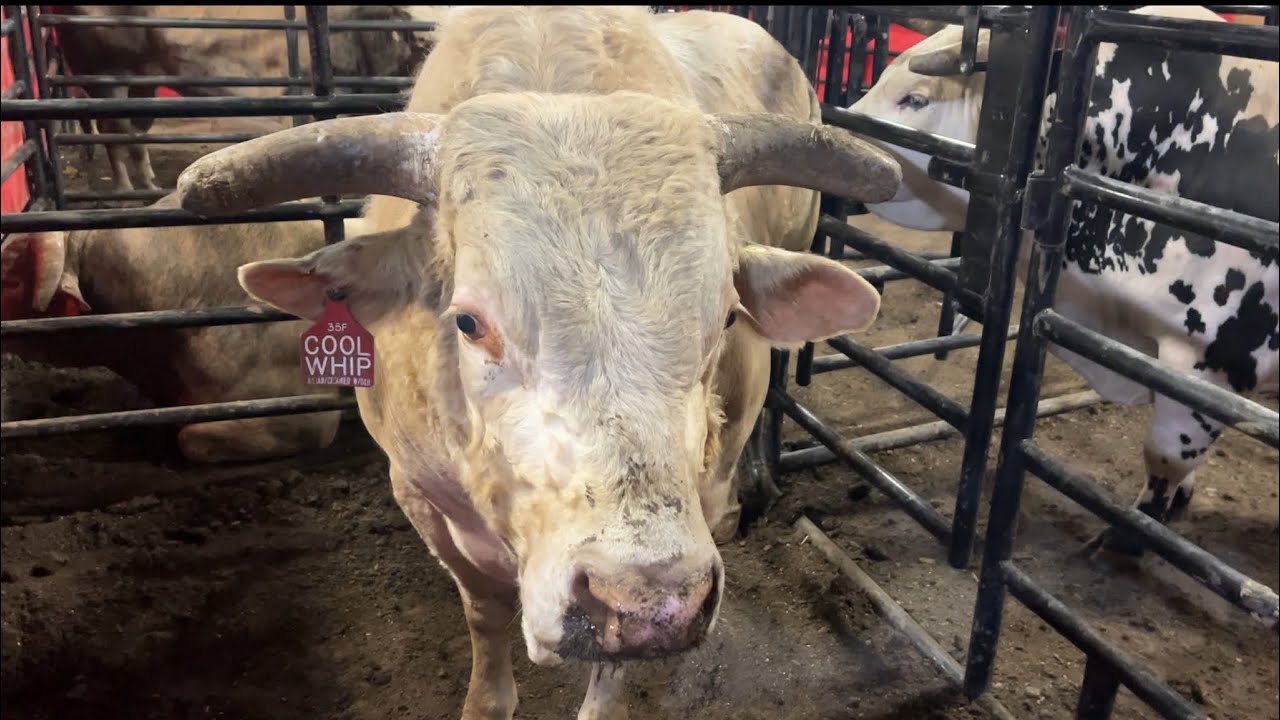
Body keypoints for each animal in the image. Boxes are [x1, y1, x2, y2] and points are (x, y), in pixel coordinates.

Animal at [48, 5, 444, 193]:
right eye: (418, 34)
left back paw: (148, 185)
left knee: (134, 132)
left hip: (144, 82)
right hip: (104, 74)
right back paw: (124, 188)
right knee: (111, 130)